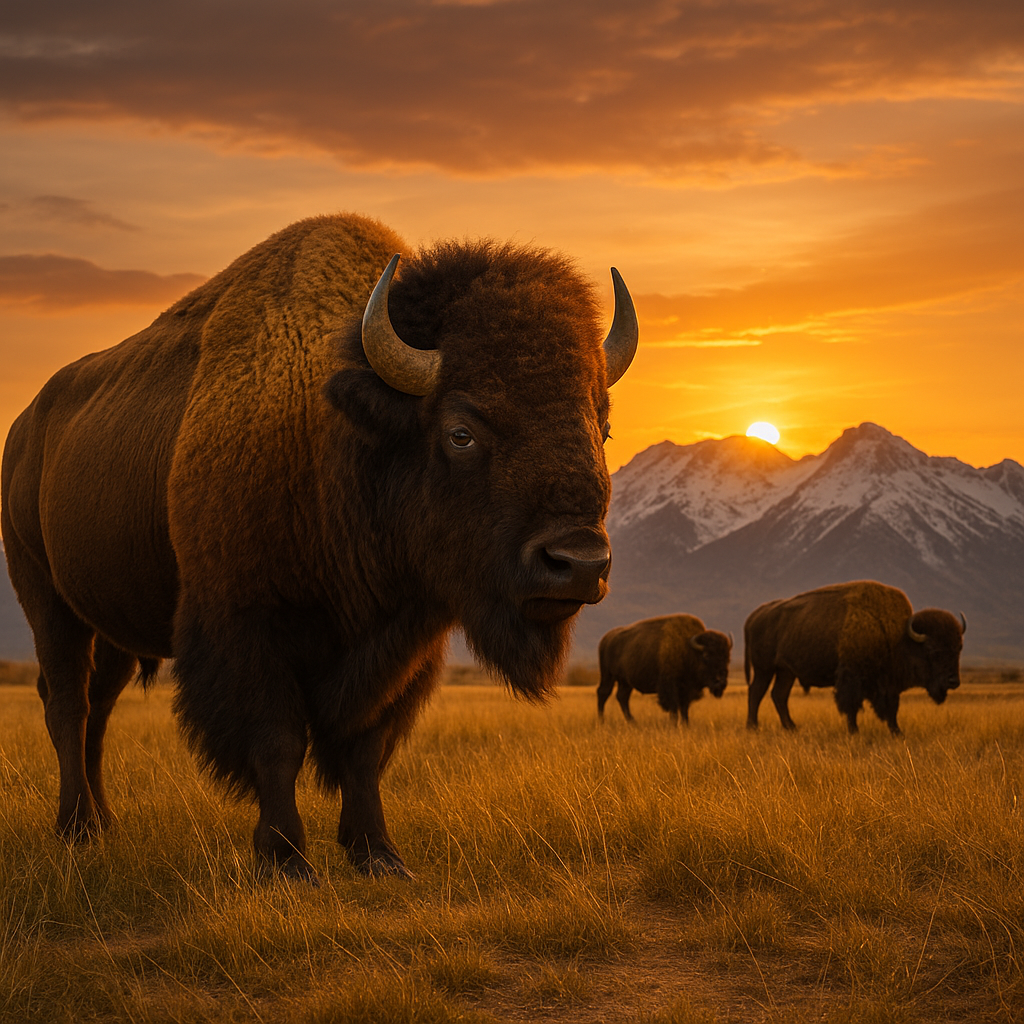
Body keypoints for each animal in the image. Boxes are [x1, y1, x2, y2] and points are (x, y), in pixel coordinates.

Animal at [1, 214, 638, 881]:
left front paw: (378, 855)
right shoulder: (248, 629)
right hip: (46, 599)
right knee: (67, 703)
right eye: (460, 433)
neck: (333, 437)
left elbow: (364, 746)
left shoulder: (400, 647)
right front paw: (285, 859)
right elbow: (277, 741)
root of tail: (23, 429)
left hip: (113, 626)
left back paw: (103, 824)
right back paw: (75, 828)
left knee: (98, 707)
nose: (579, 564)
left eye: (602, 427)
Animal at [597, 615, 732, 725]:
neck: (688, 650)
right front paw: (674, 725)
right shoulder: (670, 687)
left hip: (625, 682)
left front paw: (686, 724)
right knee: (603, 692)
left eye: (727, 658)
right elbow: (674, 707)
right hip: (607, 675)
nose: (720, 683)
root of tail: (606, 639)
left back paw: (632, 722)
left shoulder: (687, 690)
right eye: (706, 656)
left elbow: (684, 708)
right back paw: (602, 721)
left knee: (622, 697)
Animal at [744, 580, 965, 735]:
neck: (897, 637)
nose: (953, 681)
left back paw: (791, 727)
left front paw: (897, 732)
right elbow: (852, 706)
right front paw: (854, 731)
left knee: (778, 695)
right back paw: (753, 727)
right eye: (933, 651)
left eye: (959, 649)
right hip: (764, 669)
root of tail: (755, 616)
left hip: (786, 672)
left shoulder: (888, 686)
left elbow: (892, 709)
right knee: (756, 692)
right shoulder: (852, 679)